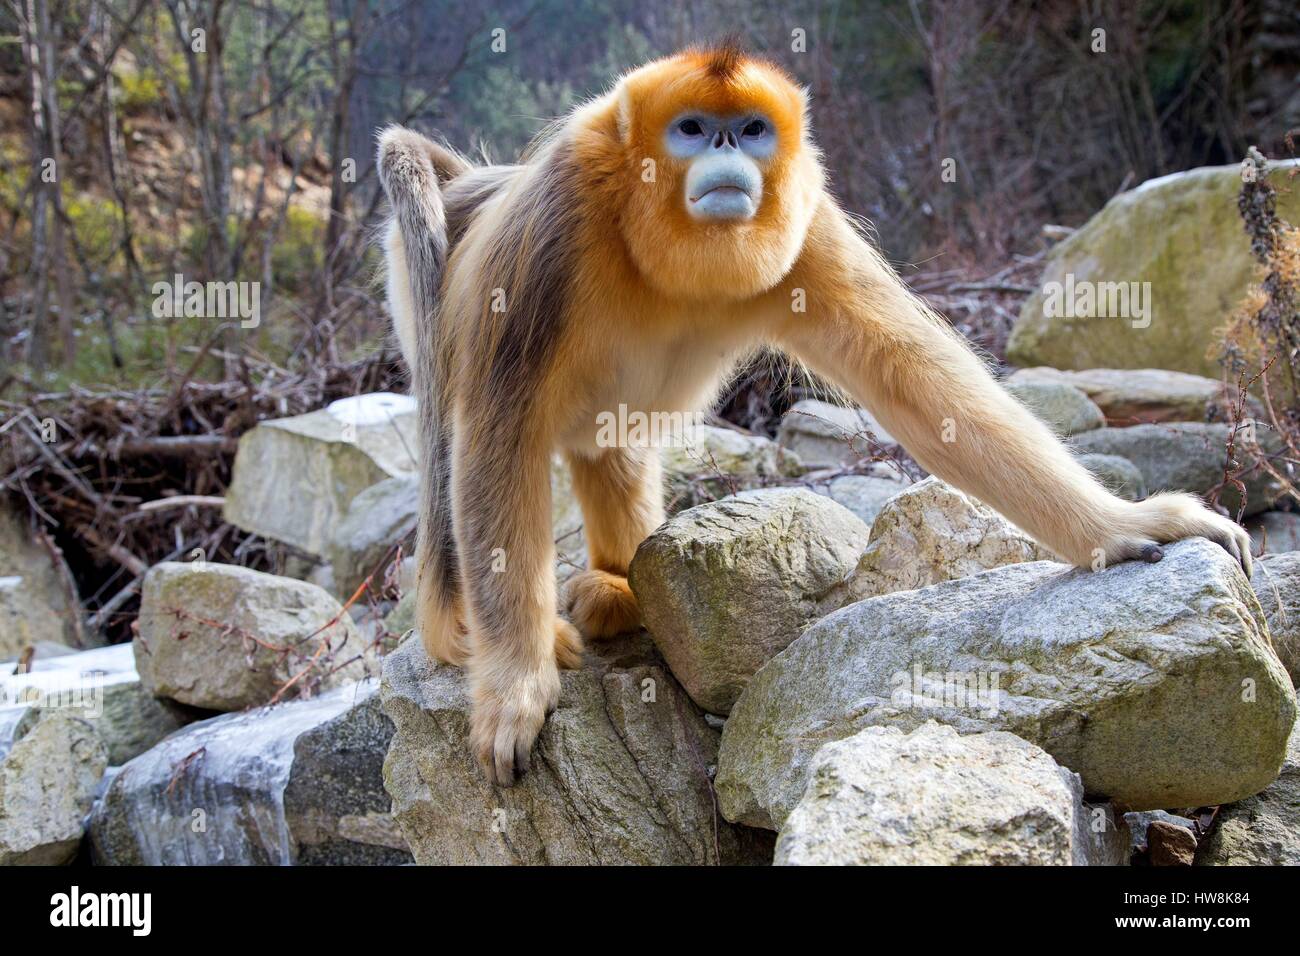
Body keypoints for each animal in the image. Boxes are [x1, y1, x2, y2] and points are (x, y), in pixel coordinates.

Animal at [377, 42, 1252, 787]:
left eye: (751, 130)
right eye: (692, 129)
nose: (726, 151)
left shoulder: (804, 223)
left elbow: (920, 384)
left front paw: (1120, 525)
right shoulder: (555, 219)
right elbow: (499, 428)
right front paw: (514, 682)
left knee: (609, 445)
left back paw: (618, 585)